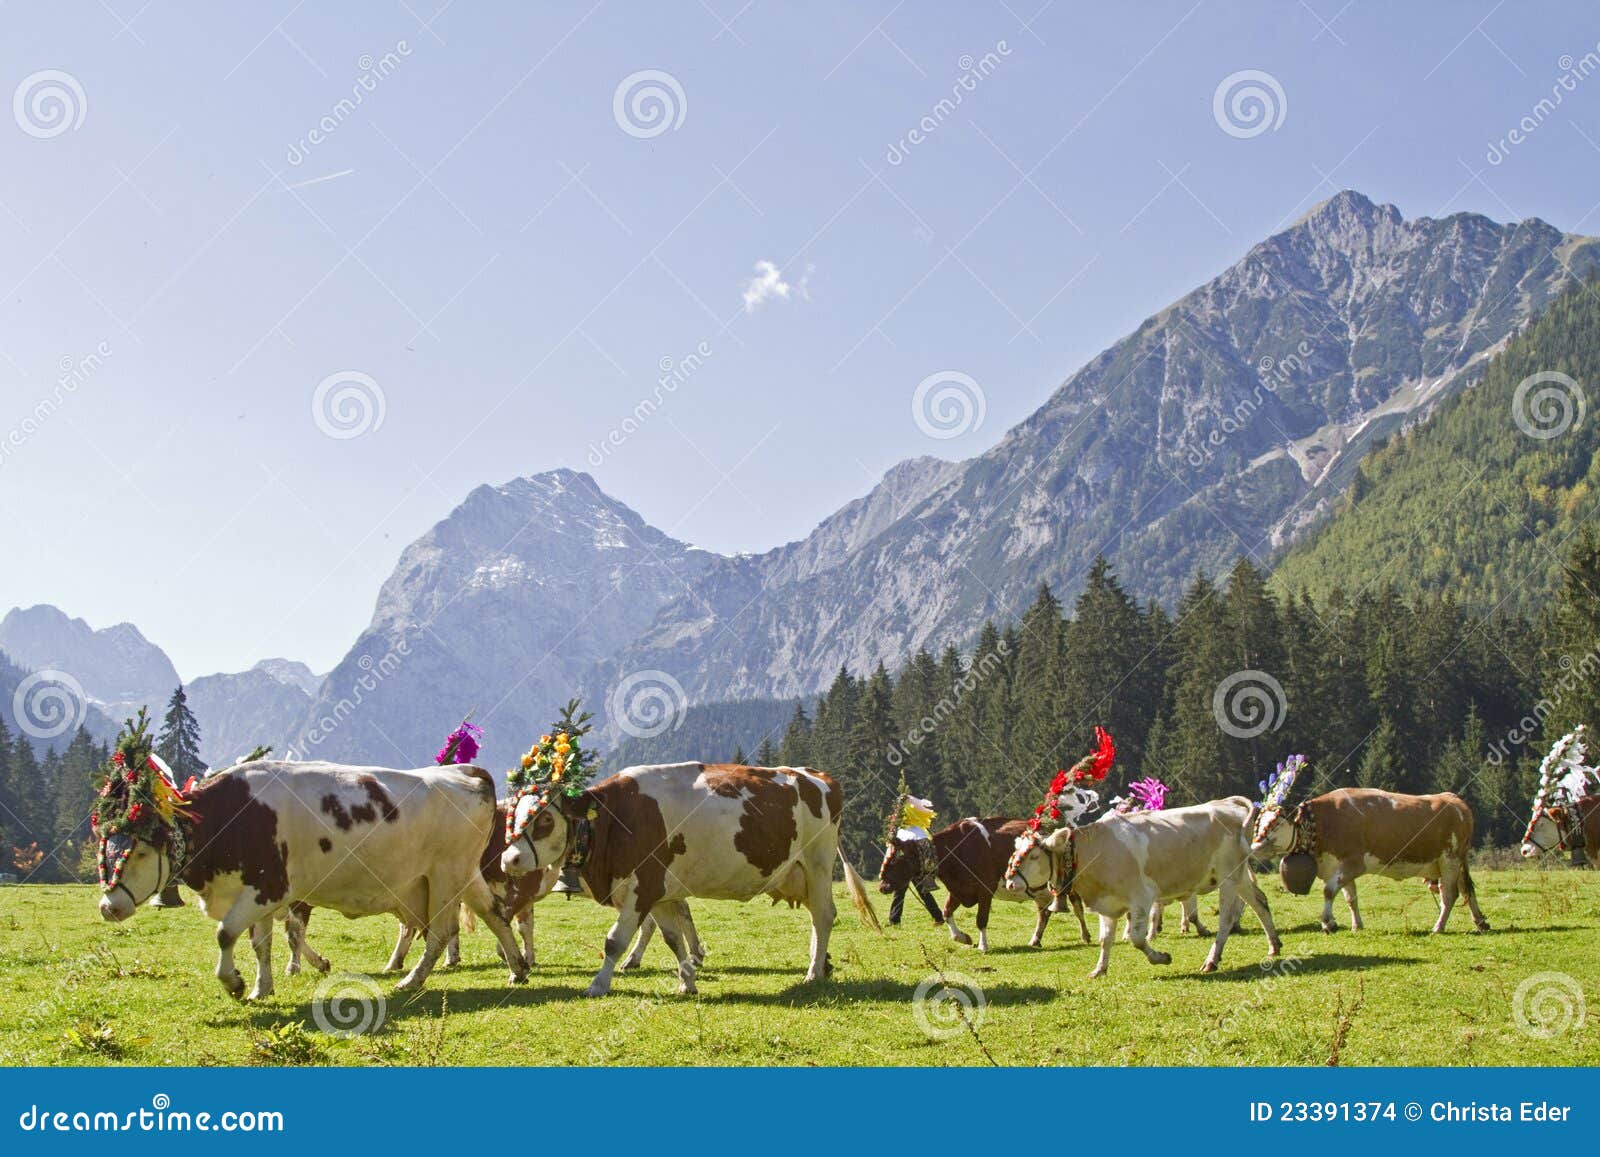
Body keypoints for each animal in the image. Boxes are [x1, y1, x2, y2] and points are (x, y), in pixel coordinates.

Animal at [97, 761, 528, 999]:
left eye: (140, 850)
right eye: (104, 843)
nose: (108, 907)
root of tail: (463, 772)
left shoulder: (268, 888)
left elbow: (226, 933)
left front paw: (234, 983)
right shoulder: (257, 894)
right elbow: (261, 944)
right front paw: (262, 987)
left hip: (443, 876)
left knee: (440, 932)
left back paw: (411, 981)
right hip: (462, 874)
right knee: (495, 914)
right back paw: (518, 968)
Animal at [501, 762, 879, 997]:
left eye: (544, 819)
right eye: (513, 816)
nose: (508, 859)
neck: (613, 819)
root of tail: (813, 774)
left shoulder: (643, 887)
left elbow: (614, 940)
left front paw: (598, 984)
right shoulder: (661, 892)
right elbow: (672, 937)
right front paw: (688, 981)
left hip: (818, 863)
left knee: (824, 916)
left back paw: (813, 972)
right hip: (801, 870)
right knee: (817, 918)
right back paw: (820, 964)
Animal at [1004, 796, 1281, 977]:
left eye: (1033, 856)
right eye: (1016, 849)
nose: (1009, 880)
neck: (1092, 851)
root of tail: (1226, 804)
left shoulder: (1142, 898)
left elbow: (1137, 937)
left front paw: (1161, 958)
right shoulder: (1108, 905)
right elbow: (1105, 940)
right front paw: (1099, 969)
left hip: (1228, 876)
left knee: (1227, 918)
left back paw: (1212, 960)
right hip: (1240, 875)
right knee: (1260, 902)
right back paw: (1274, 946)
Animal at [1251, 787, 1489, 934]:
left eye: (1275, 824)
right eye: (1259, 822)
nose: (1253, 847)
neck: (1324, 823)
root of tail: (1454, 799)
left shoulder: (1354, 863)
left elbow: (1329, 891)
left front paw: (1328, 922)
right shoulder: (1337, 866)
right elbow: (1350, 898)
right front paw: (1357, 925)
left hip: (1450, 859)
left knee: (1449, 894)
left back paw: (1438, 927)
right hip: (1450, 862)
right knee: (1466, 889)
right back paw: (1480, 921)